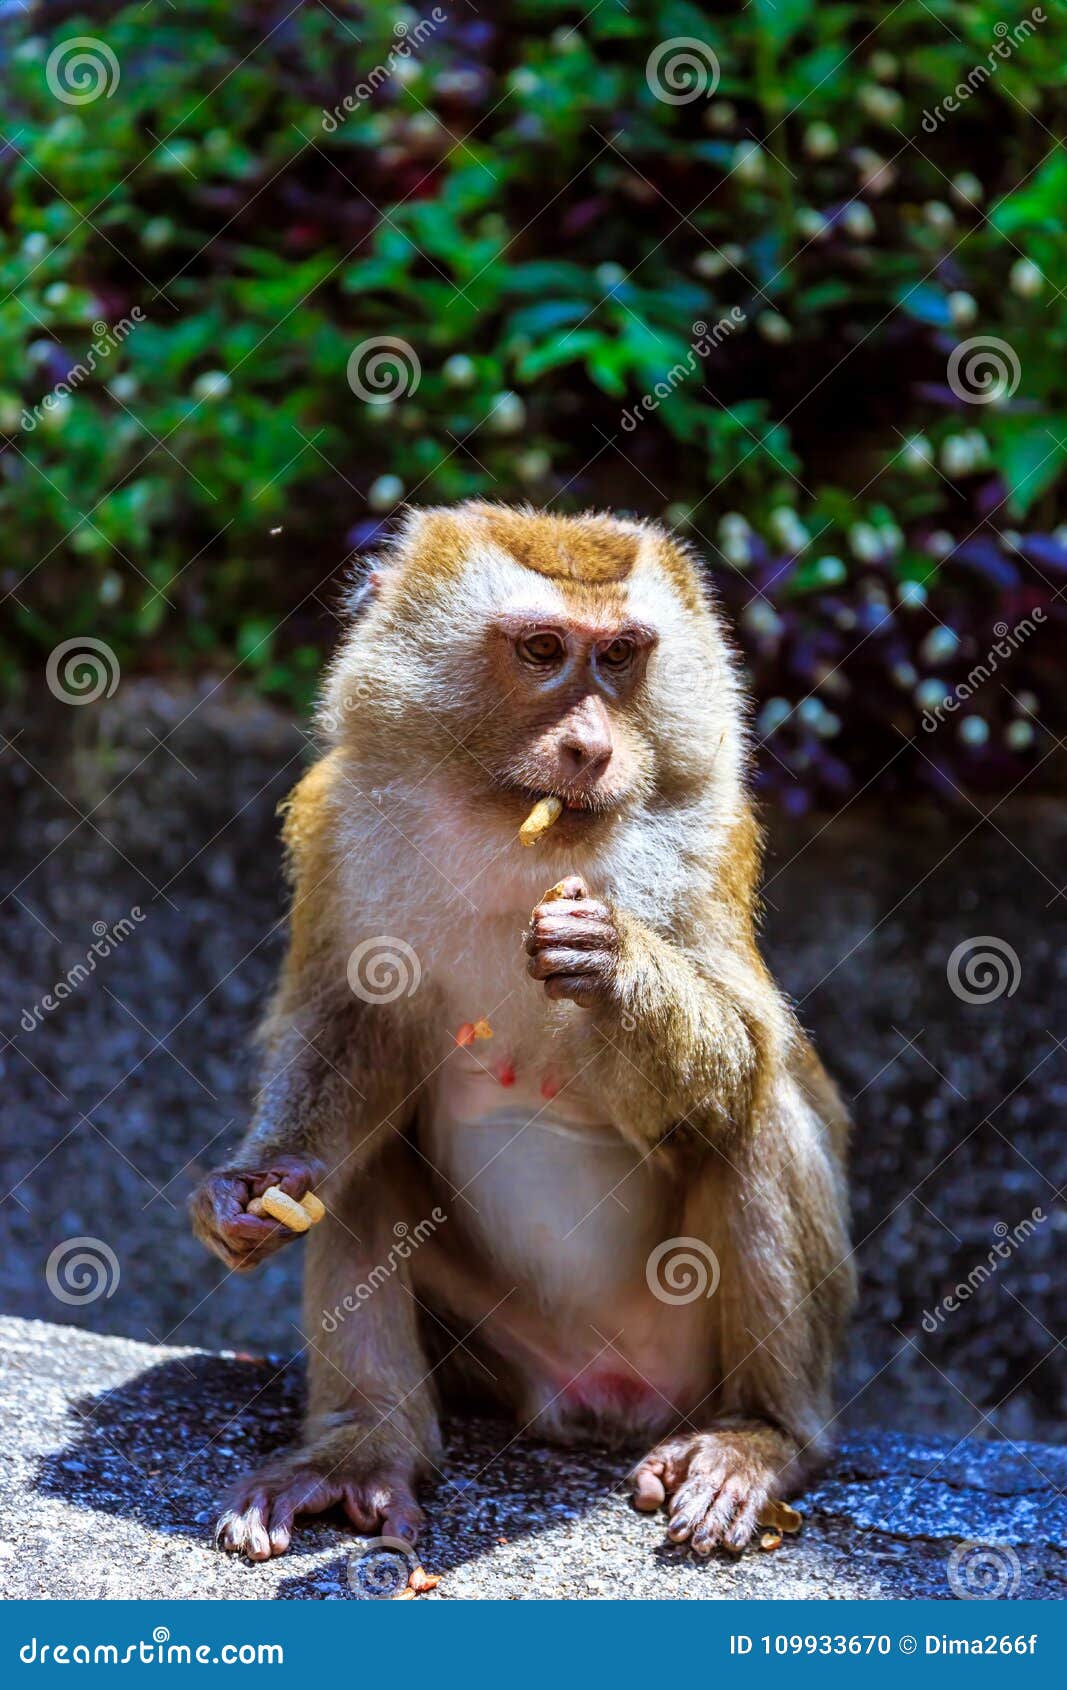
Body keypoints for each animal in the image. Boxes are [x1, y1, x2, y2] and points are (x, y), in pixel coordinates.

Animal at [190, 502, 854, 1563]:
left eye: (619, 656)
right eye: (543, 651)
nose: (590, 749)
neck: (508, 832)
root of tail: (605, 1395)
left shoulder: (706, 837)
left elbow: (742, 1062)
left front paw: (610, 962)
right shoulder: (342, 820)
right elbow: (352, 1029)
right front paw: (252, 1188)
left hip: (690, 1360)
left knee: (750, 1119)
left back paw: (760, 1439)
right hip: (498, 1359)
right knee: (365, 1157)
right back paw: (364, 1450)